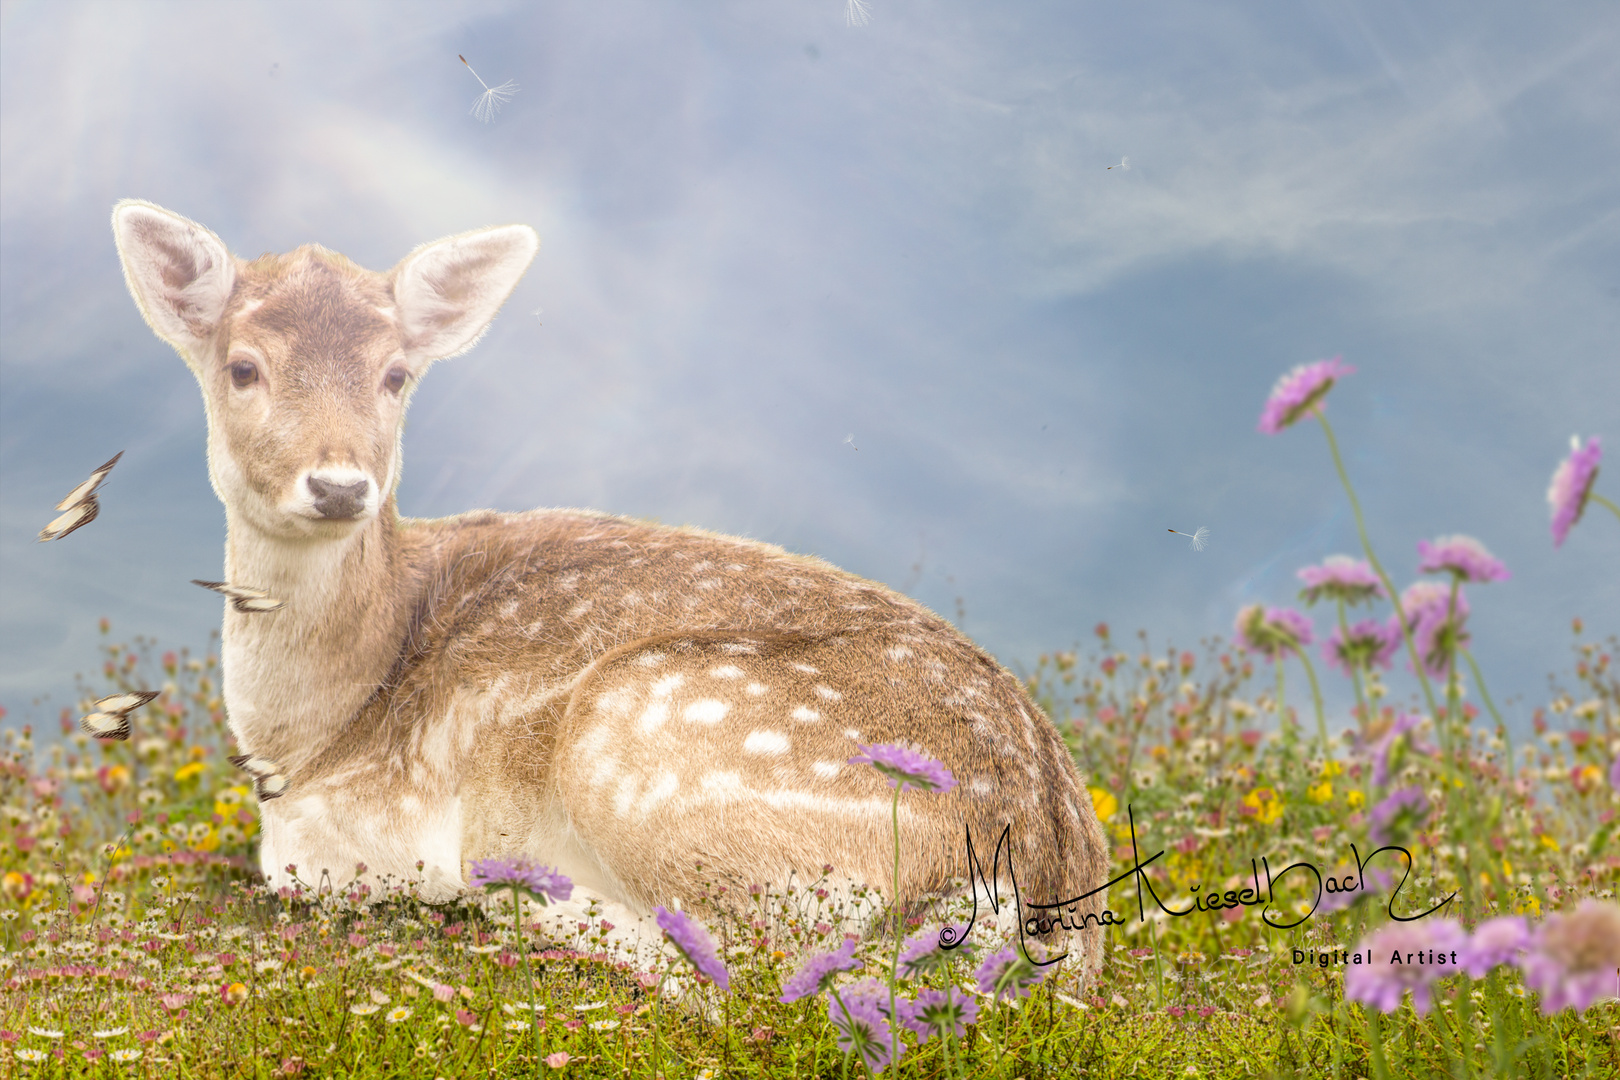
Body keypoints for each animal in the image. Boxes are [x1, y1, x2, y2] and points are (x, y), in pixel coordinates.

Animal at [110, 199, 1111, 983]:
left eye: (395, 374)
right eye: (242, 366)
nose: (338, 485)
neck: (314, 734)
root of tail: (1029, 881)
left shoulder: (346, 834)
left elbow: (296, 865)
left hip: (639, 738)